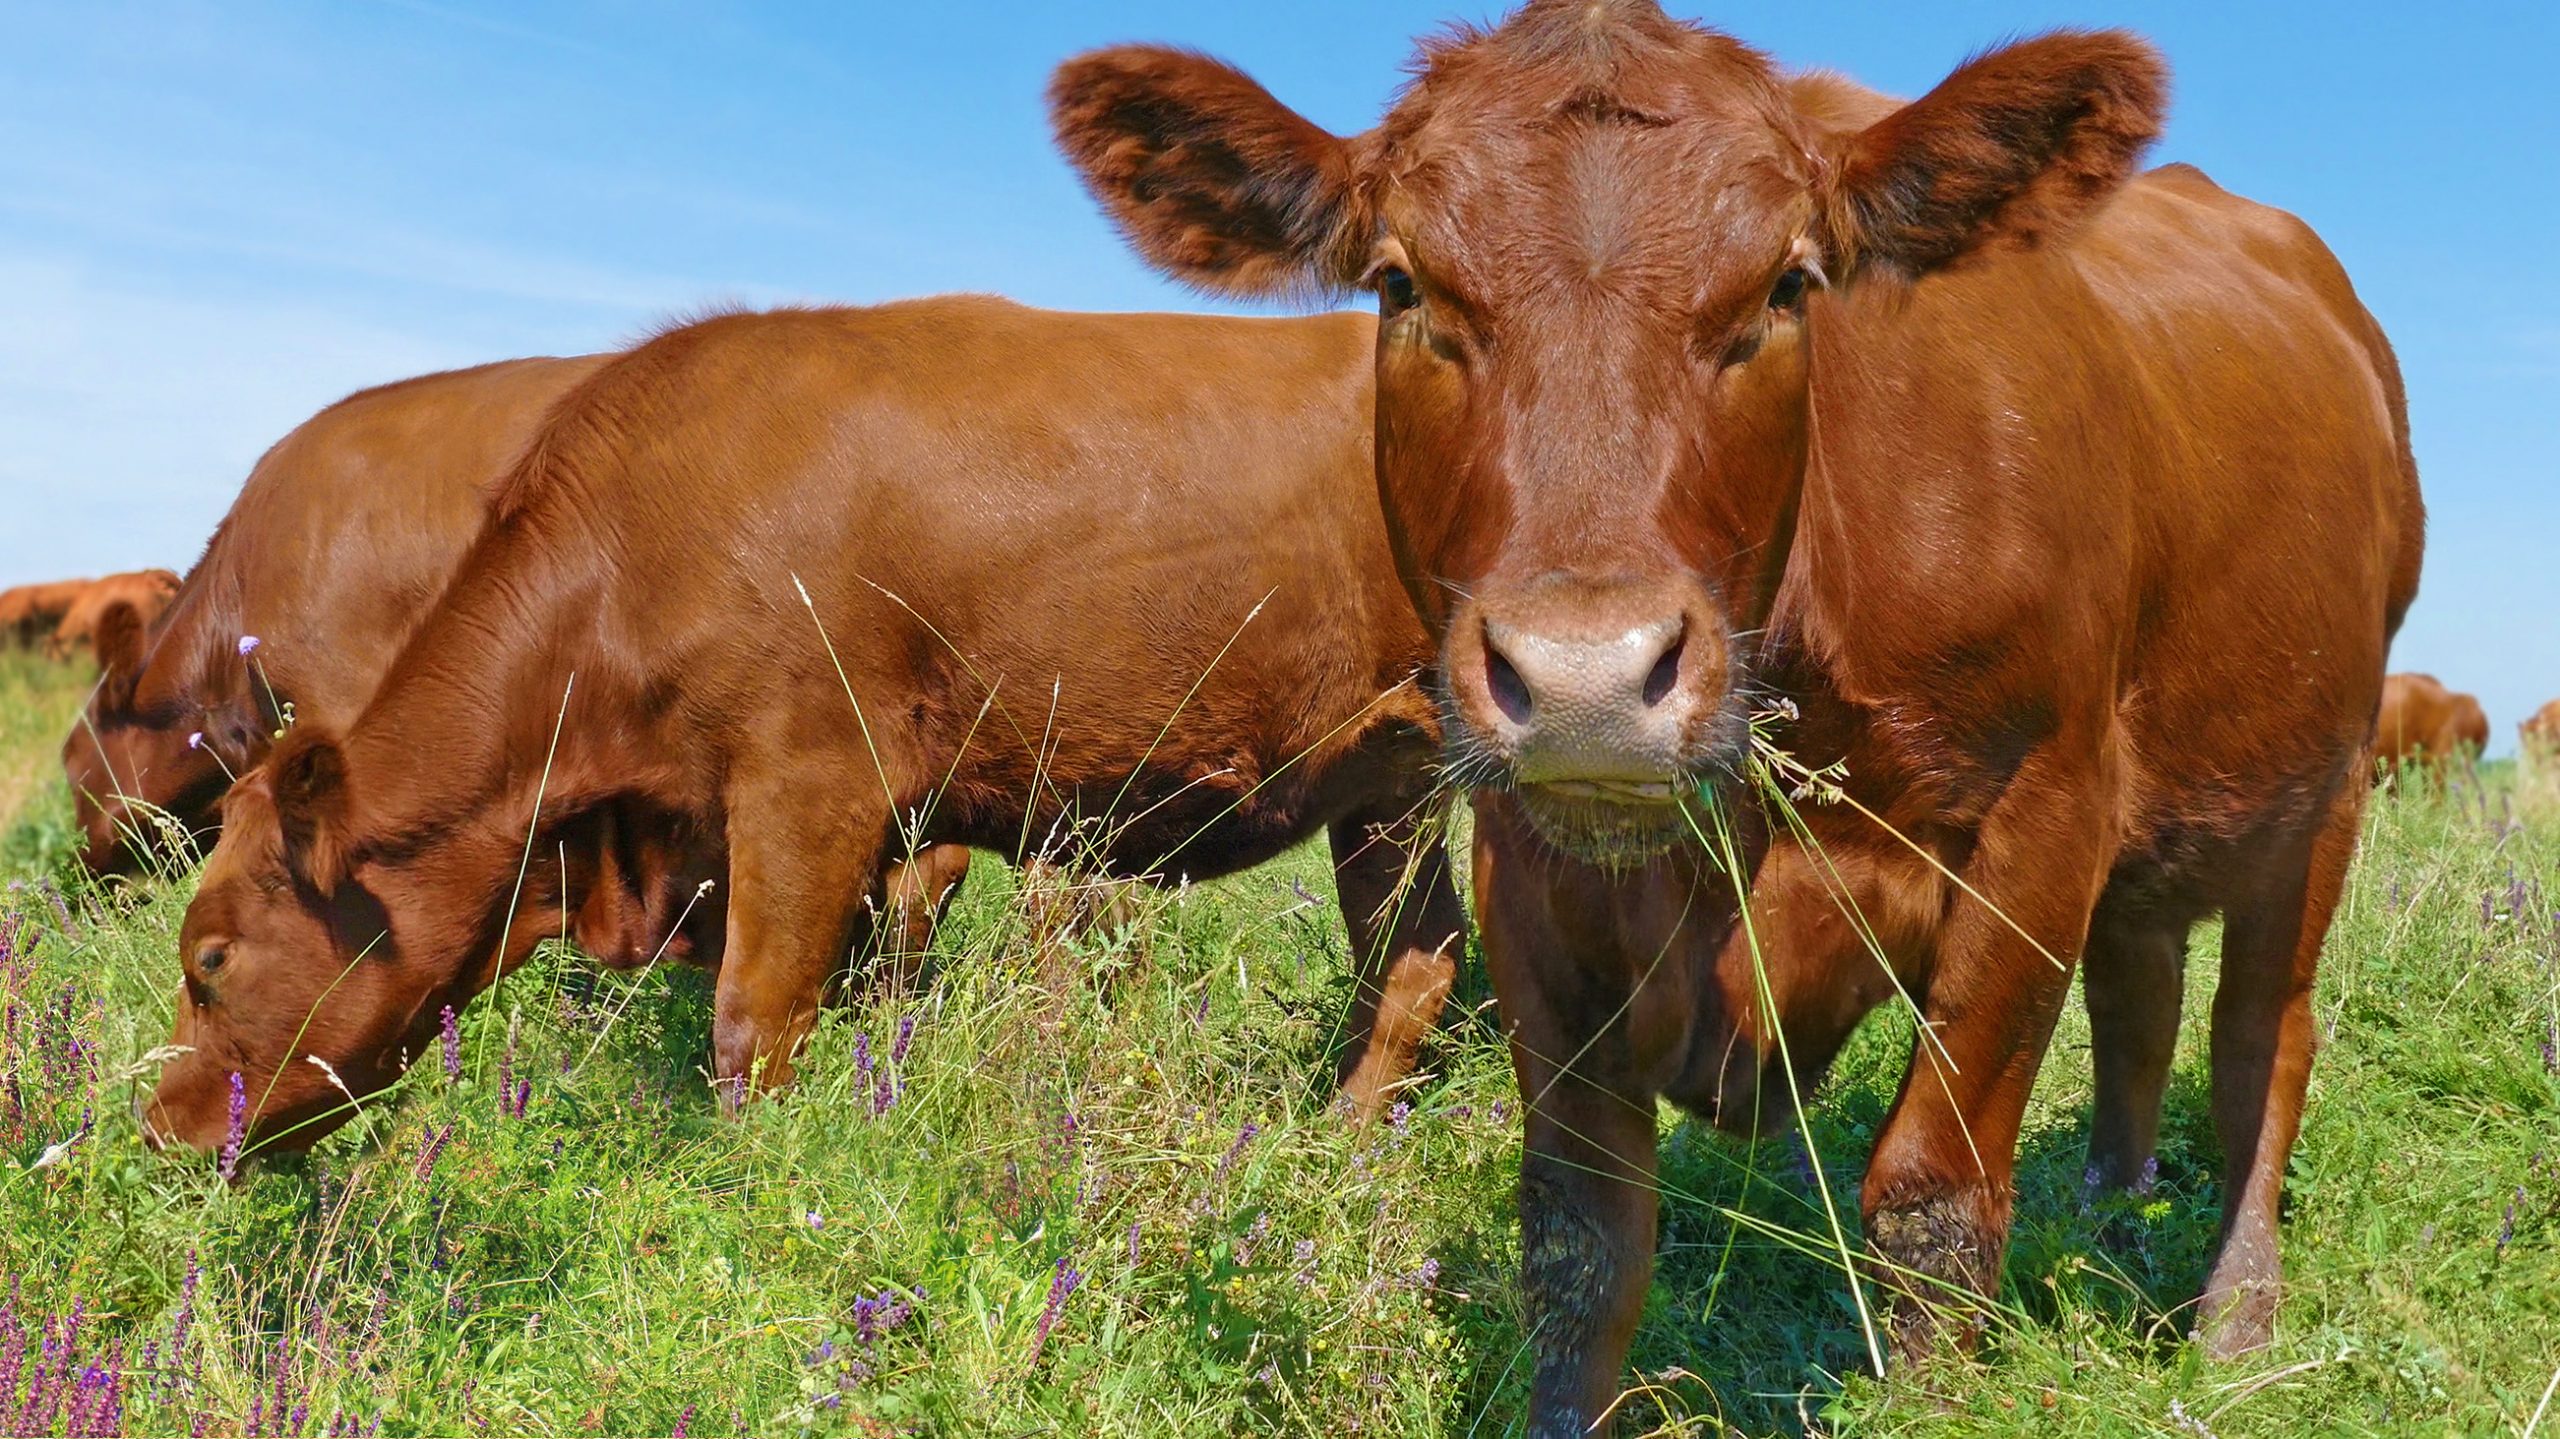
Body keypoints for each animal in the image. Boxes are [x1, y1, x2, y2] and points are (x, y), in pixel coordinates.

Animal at [143, 297, 1469, 1158]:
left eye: (210, 959)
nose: (157, 1129)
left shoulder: (811, 787)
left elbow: (756, 1024)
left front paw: (752, 1190)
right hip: (1388, 790)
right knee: (1416, 961)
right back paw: (1341, 1156)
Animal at [1050, 3, 2423, 1426]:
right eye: (1401, 284)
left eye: (1785, 285)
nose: (1588, 678)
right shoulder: (1534, 865)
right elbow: (1581, 1239)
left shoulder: (2043, 812)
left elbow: (1934, 1198)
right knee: (2140, 994)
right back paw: (2104, 1222)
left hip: (2320, 783)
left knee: (2262, 1033)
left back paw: (2236, 1316)